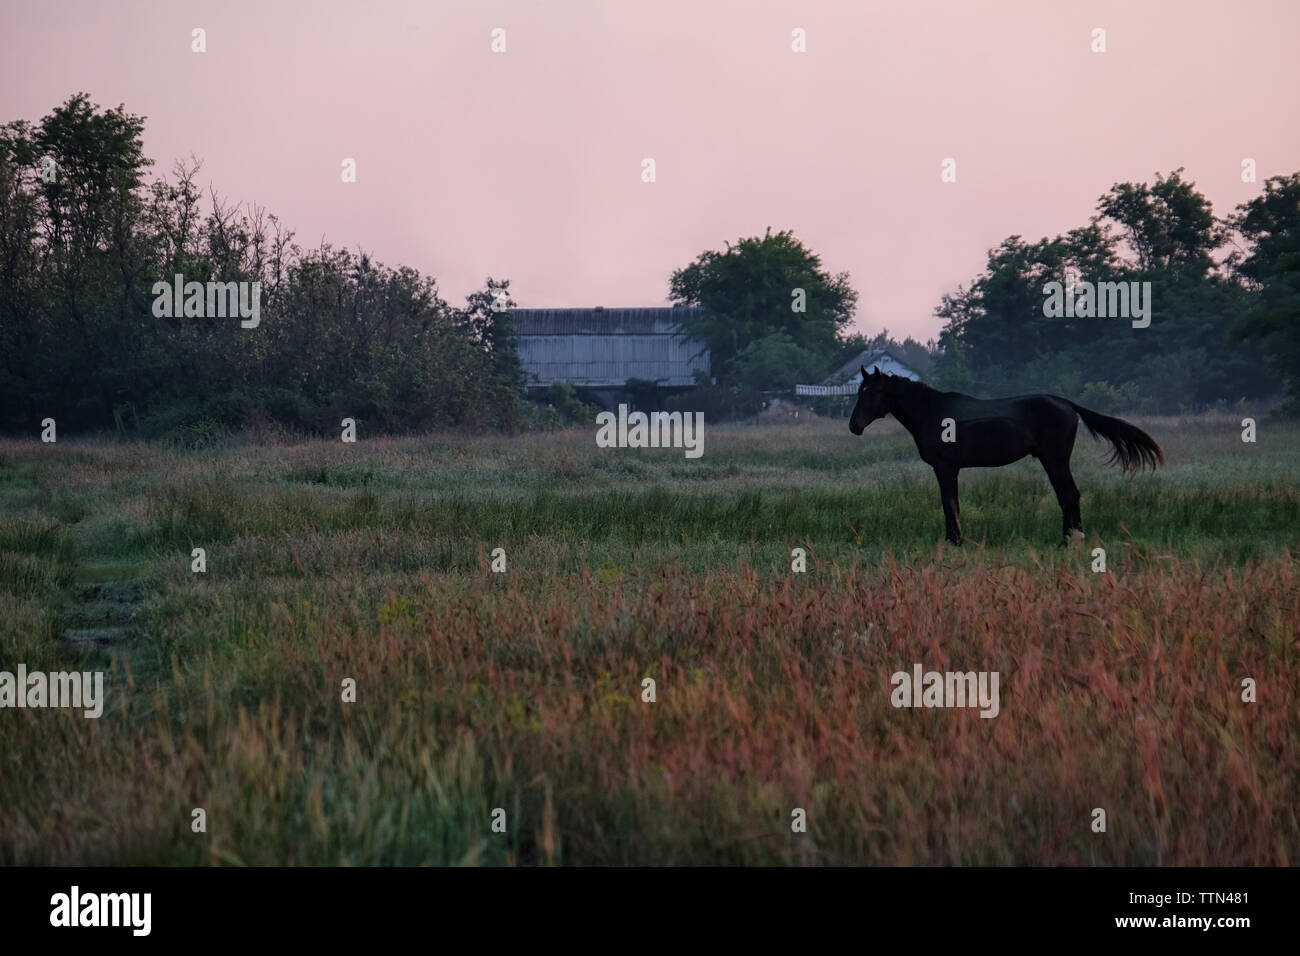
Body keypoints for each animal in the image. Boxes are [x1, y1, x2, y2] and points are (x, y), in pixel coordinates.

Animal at [848, 366, 1163, 546]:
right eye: (859, 391)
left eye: (873, 392)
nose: (854, 426)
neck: (932, 412)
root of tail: (1068, 405)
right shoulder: (949, 468)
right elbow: (952, 503)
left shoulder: (945, 467)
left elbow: (949, 503)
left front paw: (954, 541)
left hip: (1055, 460)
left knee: (1069, 495)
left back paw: (1071, 540)